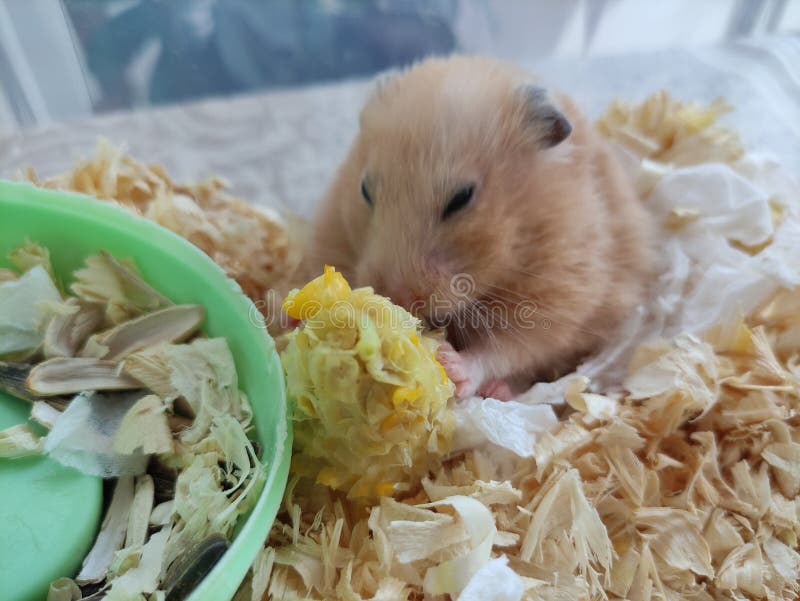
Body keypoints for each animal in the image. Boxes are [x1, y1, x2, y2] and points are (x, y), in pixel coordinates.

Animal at [308, 56, 654, 400]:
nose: (397, 298)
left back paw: (499, 390)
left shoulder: (563, 286)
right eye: (365, 190)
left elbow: (511, 347)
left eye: (462, 198)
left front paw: (450, 365)